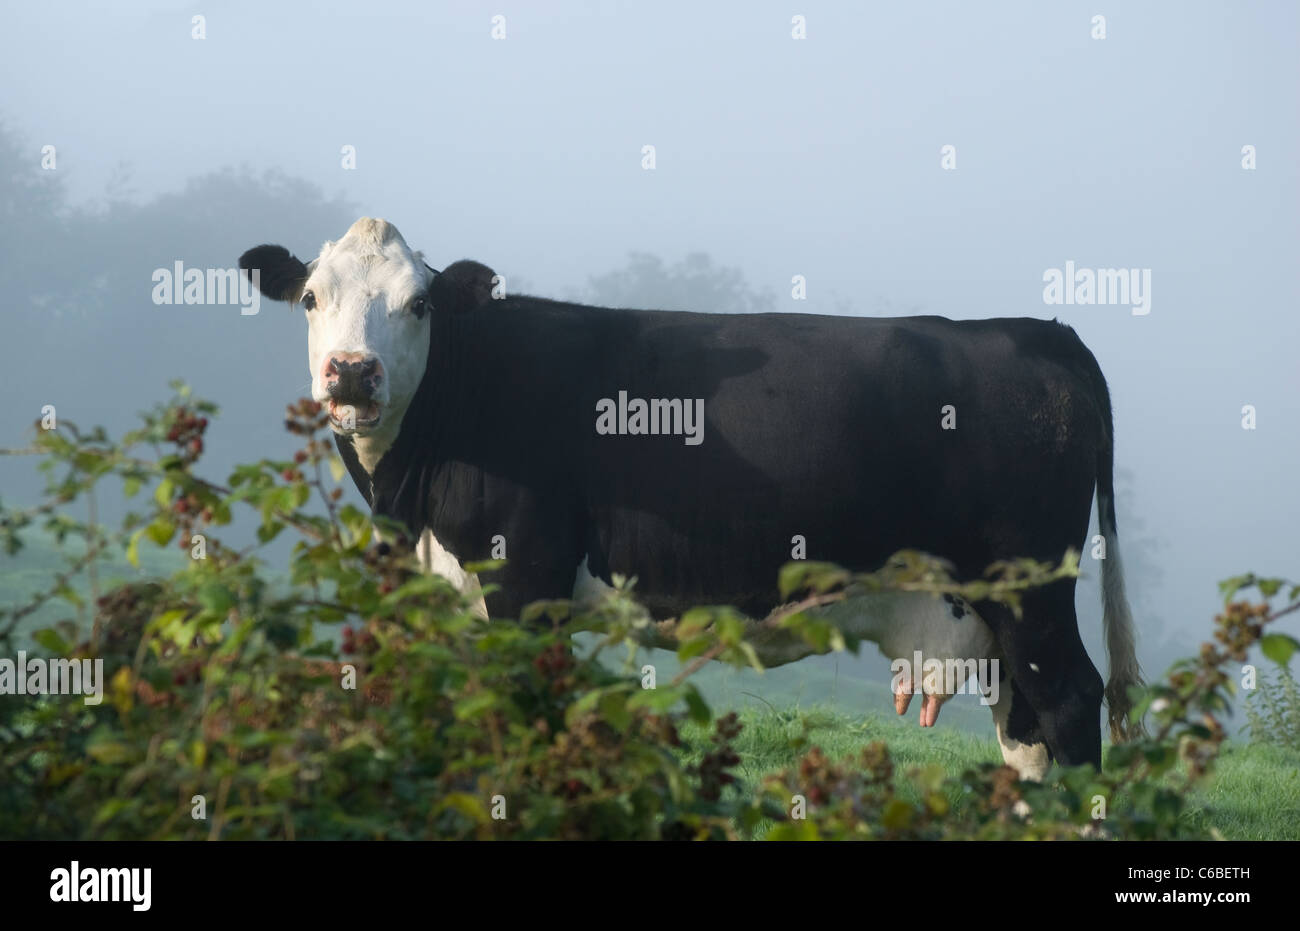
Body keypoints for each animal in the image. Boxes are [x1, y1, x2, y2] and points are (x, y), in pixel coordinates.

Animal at [240, 217, 1143, 779]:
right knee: (1025, 729)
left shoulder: (523, 580)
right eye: (312, 297)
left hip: (1029, 586)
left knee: (1071, 701)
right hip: (992, 613)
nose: (352, 372)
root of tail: (1039, 331)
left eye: (419, 303)